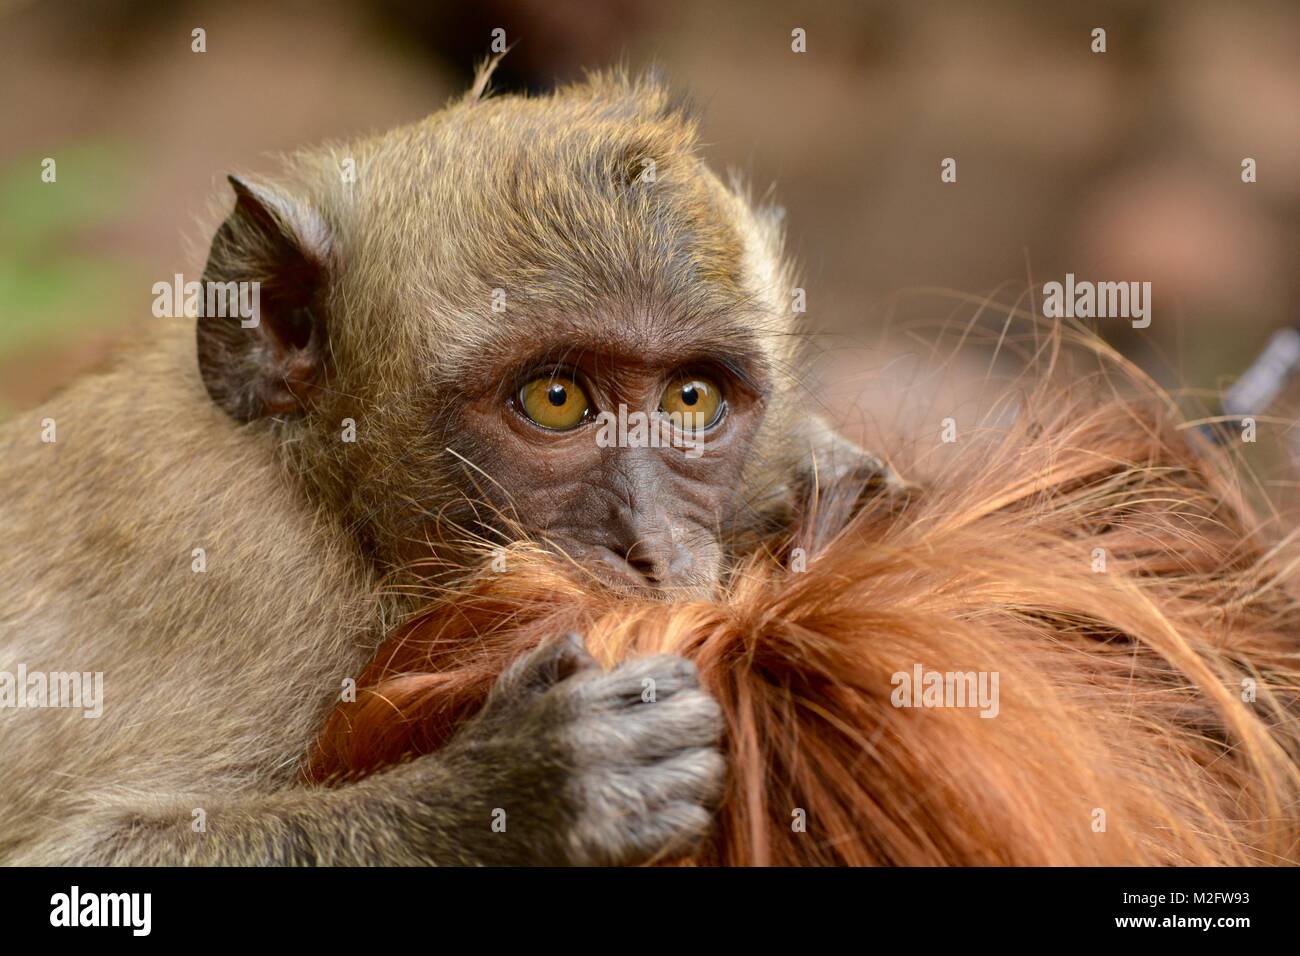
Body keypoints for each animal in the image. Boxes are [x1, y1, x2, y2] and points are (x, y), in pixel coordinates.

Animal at [0, 66, 893, 865]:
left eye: (691, 397)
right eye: (556, 399)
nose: (657, 553)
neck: (325, 488)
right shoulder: (243, 571)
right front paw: (523, 792)